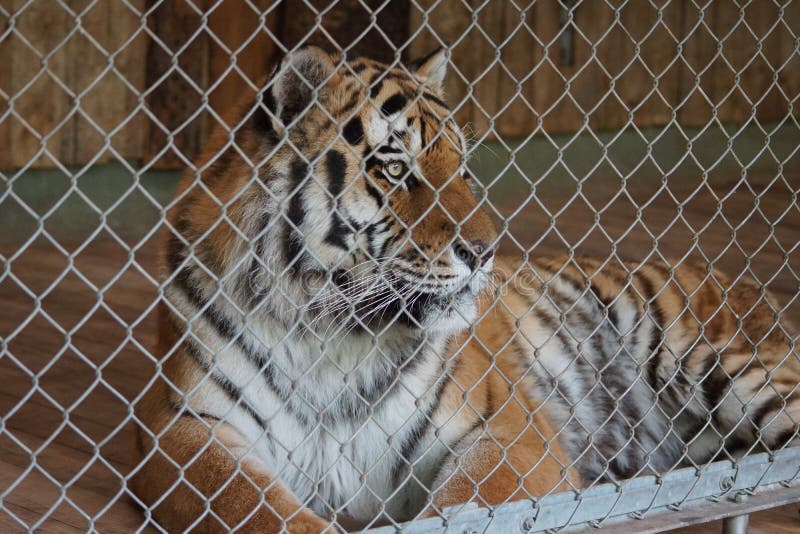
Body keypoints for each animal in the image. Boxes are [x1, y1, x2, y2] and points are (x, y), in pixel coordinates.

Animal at [131, 46, 800, 532]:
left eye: (463, 168)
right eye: (394, 167)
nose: (483, 253)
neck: (332, 332)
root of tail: (743, 282)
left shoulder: (508, 429)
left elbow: (471, 502)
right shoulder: (182, 429)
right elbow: (256, 510)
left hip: (733, 371)